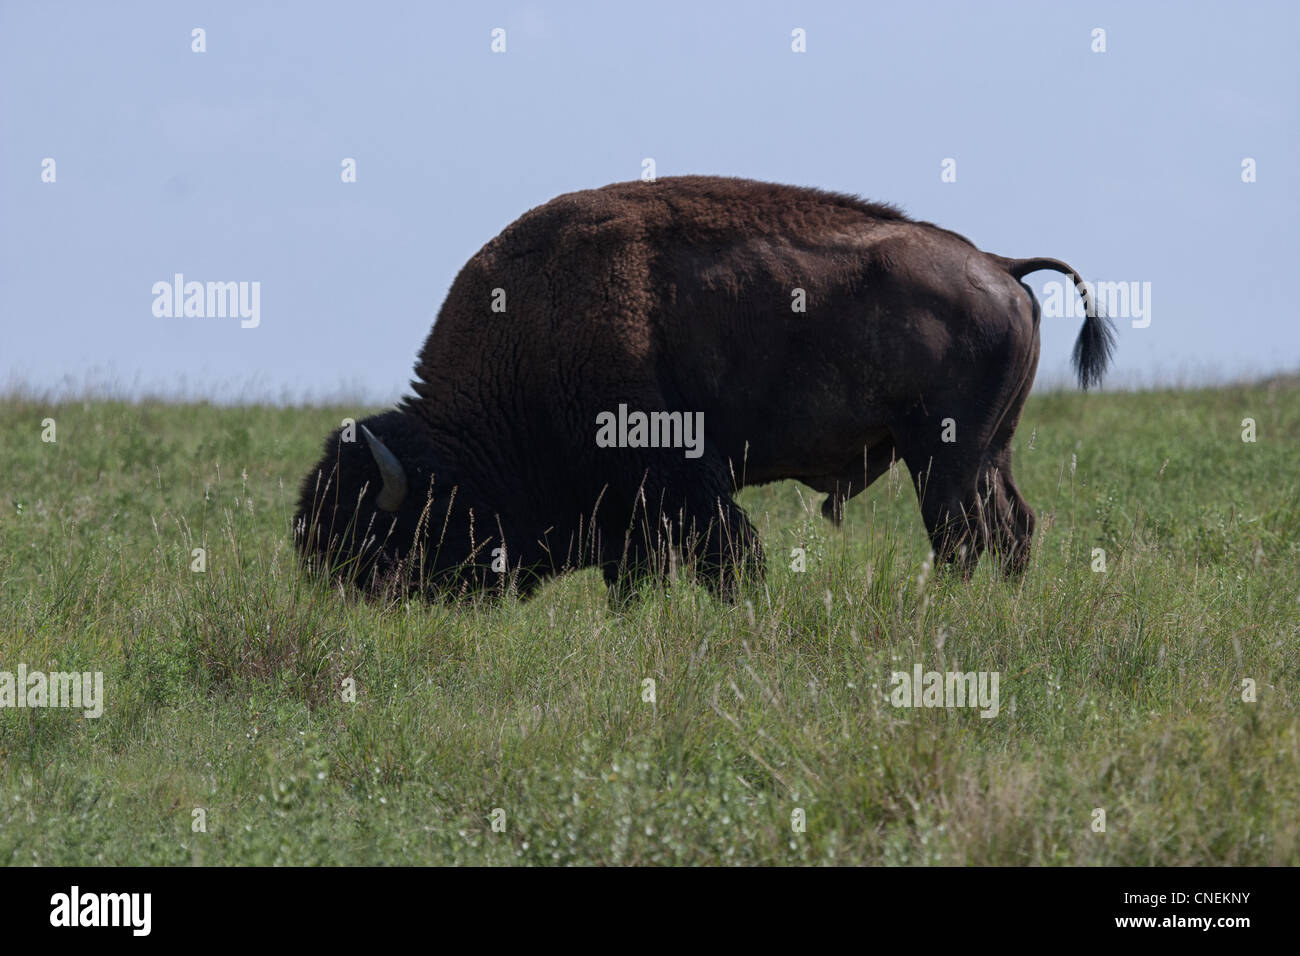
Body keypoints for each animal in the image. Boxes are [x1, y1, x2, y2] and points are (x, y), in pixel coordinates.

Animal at [295, 176, 1114, 600]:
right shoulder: (631, 512)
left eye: (378, 534)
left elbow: (731, 558)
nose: (339, 595)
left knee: (963, 536)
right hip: (987, 454)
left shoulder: (682, 478)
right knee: (1011, 528)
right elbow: (638, 579)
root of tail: (998, 264)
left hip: (942, 457)